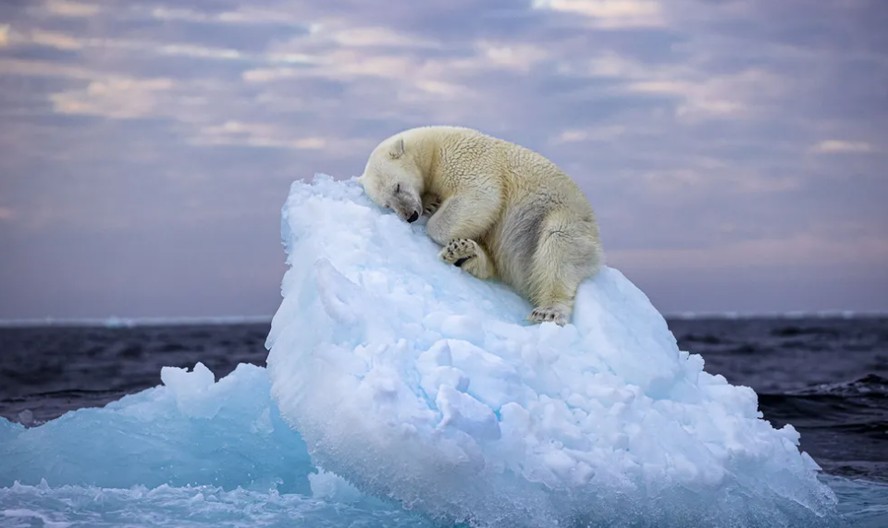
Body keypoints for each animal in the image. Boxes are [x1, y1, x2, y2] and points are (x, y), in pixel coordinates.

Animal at [358, 126, 603, 326]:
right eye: (387, 204)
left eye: (397, 186)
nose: (410, 215)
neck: (432, 147)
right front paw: (431, 204)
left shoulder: (463, 158)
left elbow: (481, 195)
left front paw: (434, 216)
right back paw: (464, 253)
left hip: (561, 216)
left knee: (558, 247)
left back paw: (548, 310)